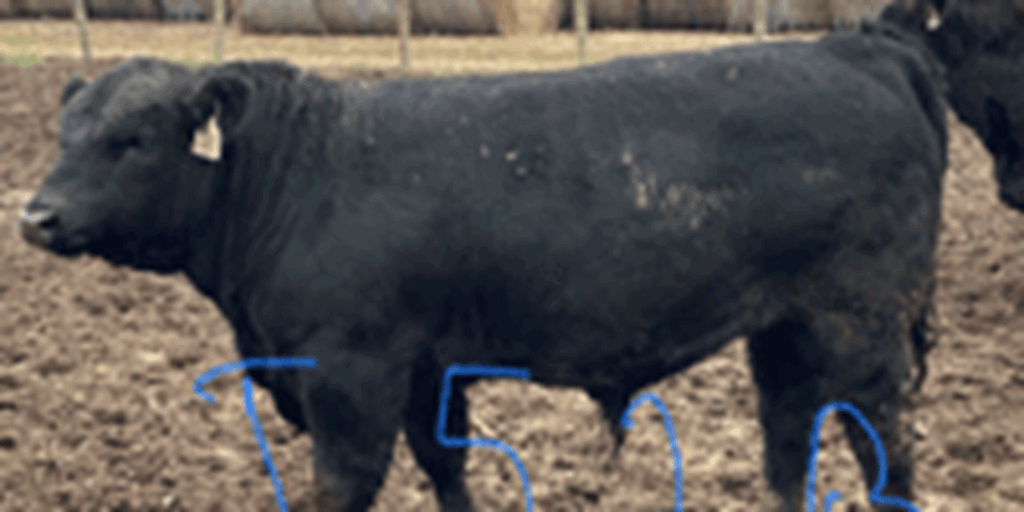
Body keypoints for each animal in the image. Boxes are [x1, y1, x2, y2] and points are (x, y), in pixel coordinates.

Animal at [16, 0, 1023, 510]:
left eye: (133, 140)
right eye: (67, 131)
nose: (36, 216)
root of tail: (858, 48)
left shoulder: (350, 372)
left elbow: (345, 484)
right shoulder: (428, 369)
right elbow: (446, 467)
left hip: (861, 325)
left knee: (883, 441)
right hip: (781, 331)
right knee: (790, 441)